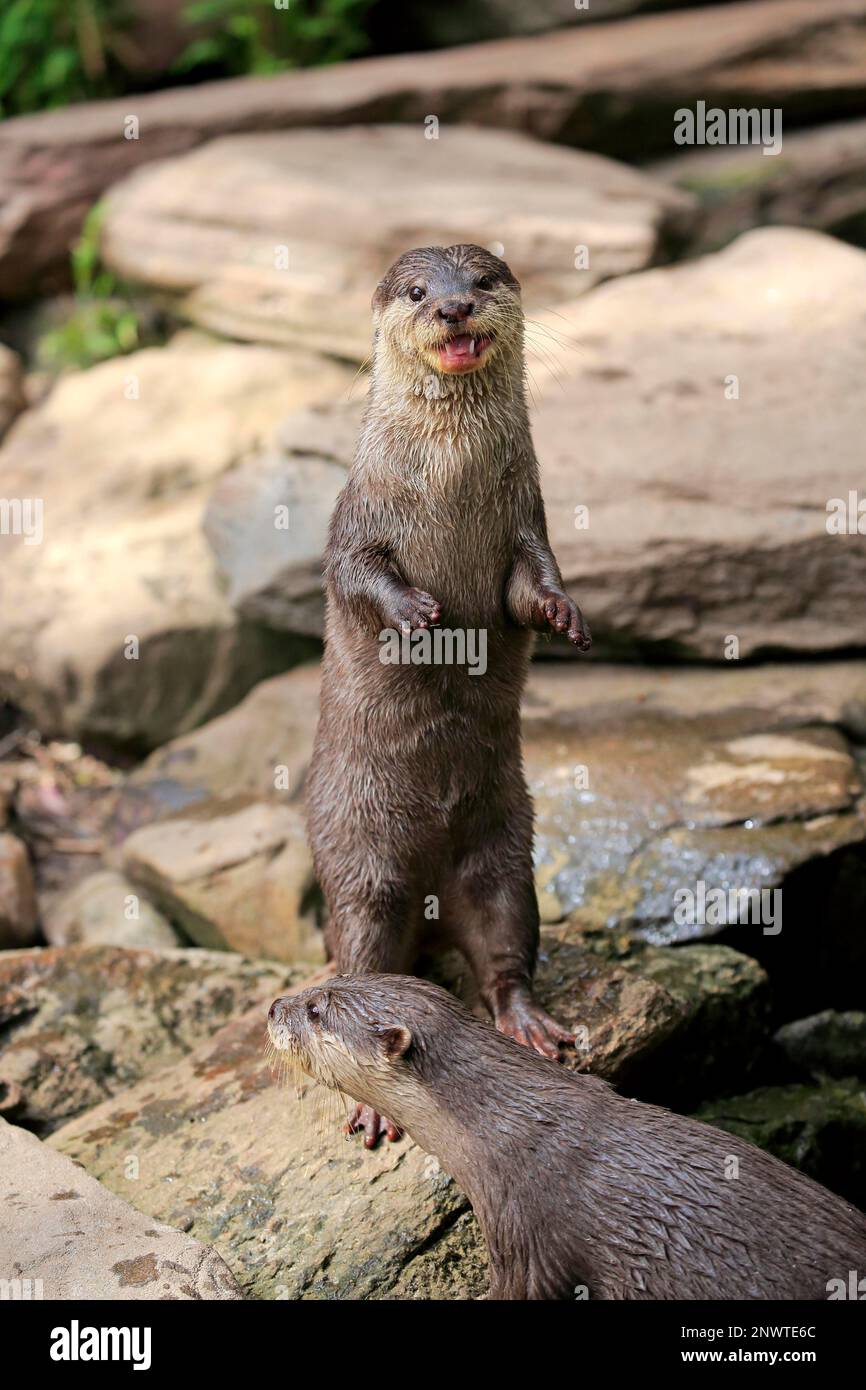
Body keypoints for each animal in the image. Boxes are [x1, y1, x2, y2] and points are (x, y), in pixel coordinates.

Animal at [307, 244, 590, 1147]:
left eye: (485, 279)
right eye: (417, 290)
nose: (455, 307)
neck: (450, 481)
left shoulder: (528, 520)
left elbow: (531, 585)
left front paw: (566, 615)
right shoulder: (357, 518)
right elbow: (359, 576)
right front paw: (416, 614)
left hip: (504, 852)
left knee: (504, 950)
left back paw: (529, 1027)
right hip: (358, 864)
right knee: (362, 960)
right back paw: (371, 1103)